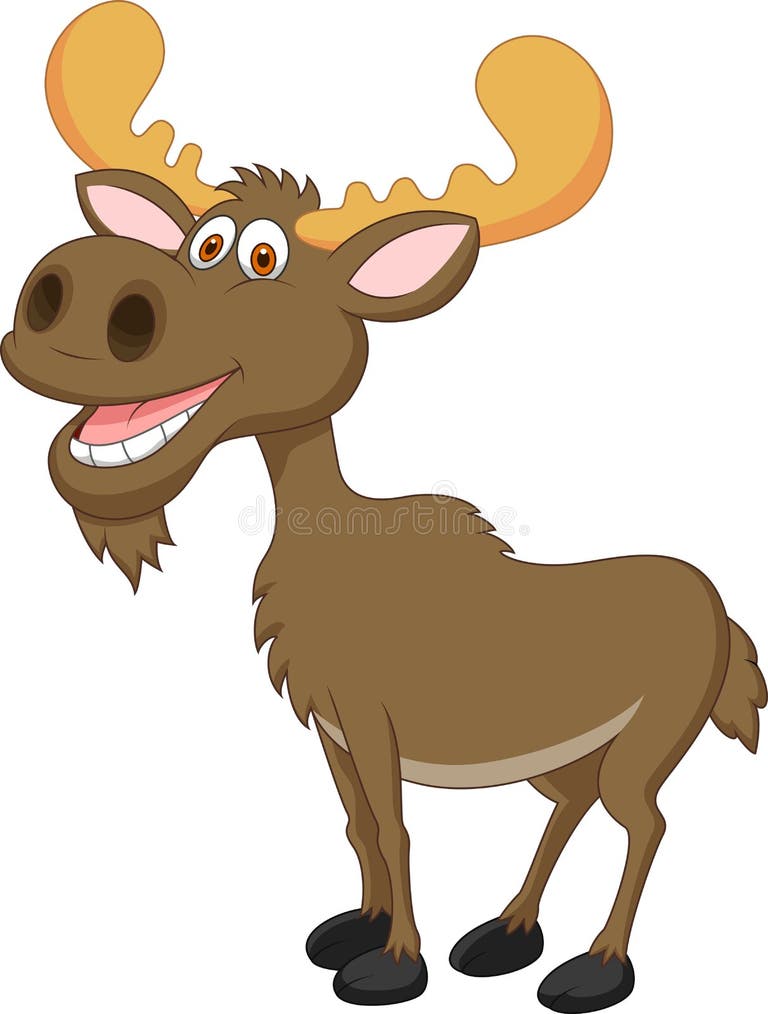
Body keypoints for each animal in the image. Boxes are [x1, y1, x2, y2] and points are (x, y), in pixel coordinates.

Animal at [2, 3, 765, 1011]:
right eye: (200, 240)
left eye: (263, 258)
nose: (77, 295)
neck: (324, 552)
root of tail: (722, 609)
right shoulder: (328, 730)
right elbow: (359, 829)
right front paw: (359, 929)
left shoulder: (371, 718)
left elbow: (400, 832)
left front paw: (397, 963)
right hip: (565, 751)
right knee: (573, 807)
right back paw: (507, 933)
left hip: (648, 742)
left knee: (646, 822)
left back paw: (595, 967)